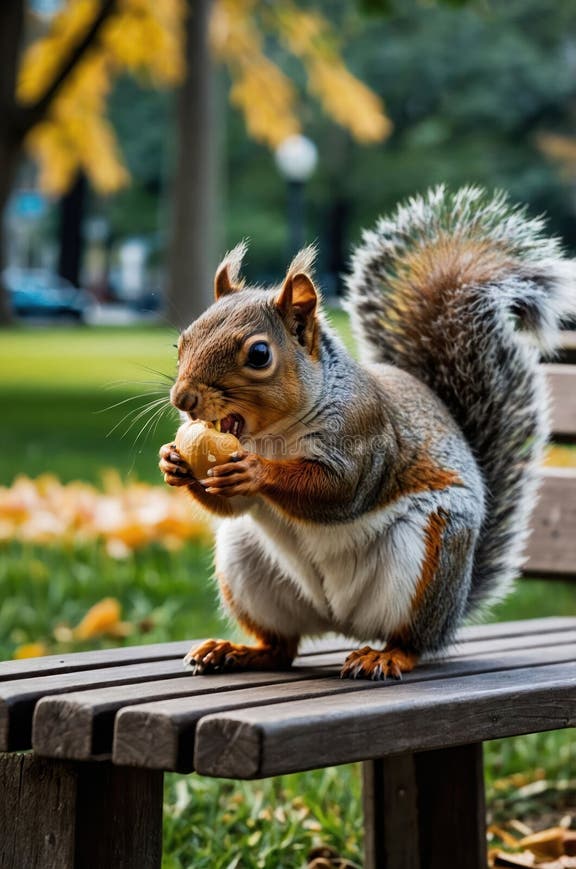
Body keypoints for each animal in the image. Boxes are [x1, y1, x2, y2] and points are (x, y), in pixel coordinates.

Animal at [159, 186, 576, 681]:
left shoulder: (364, 433)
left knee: (412, 637)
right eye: (182, 342)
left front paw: (257, 471)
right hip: (246, 562)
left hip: (430, 553)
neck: (273, 434)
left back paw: (386, 655)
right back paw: (237, 650)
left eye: (259, 354)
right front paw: (173, 462)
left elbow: (339, 491)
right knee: (281, 646)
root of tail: (338, 620)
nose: (183, 399)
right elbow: (232, 505)